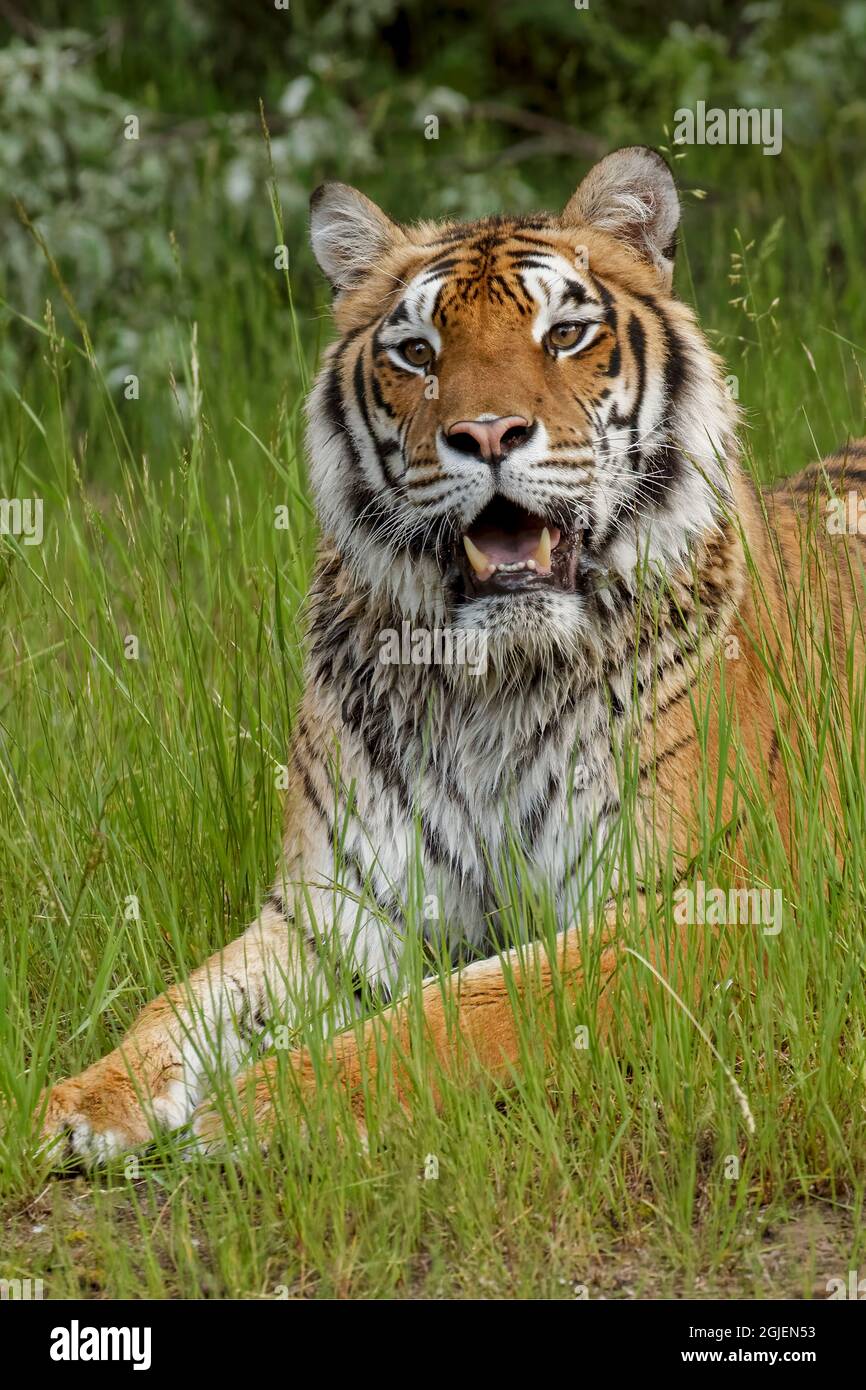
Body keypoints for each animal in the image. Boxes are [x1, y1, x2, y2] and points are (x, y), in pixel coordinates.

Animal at [40, 146, 866, 1163]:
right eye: (418, 353)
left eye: (565, 335)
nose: (486, 434)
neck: (493, 679)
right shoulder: (341, 908)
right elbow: (185, 1002)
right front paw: (90, 1099)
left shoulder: (711, 898)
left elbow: (471, 1005)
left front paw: (273, 1099)